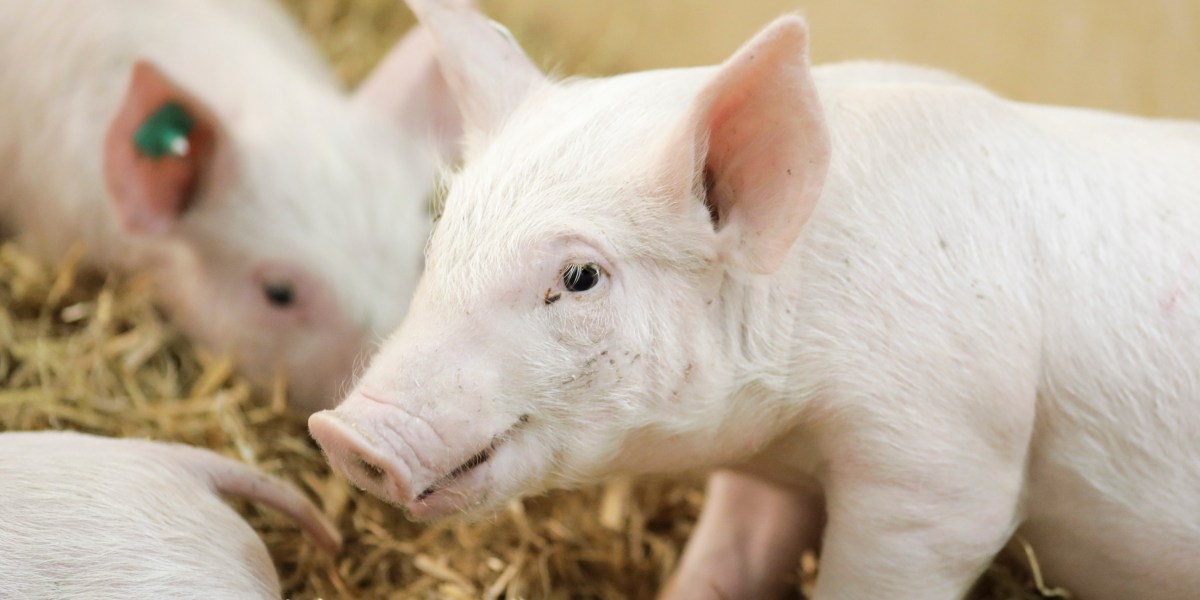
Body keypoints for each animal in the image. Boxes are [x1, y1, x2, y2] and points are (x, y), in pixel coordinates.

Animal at [309, 1, 1200, 599]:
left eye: (580, 277)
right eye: (441, 235)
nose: (346, 434)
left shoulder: (947, 462)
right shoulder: (771, 471)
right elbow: (727, 557)